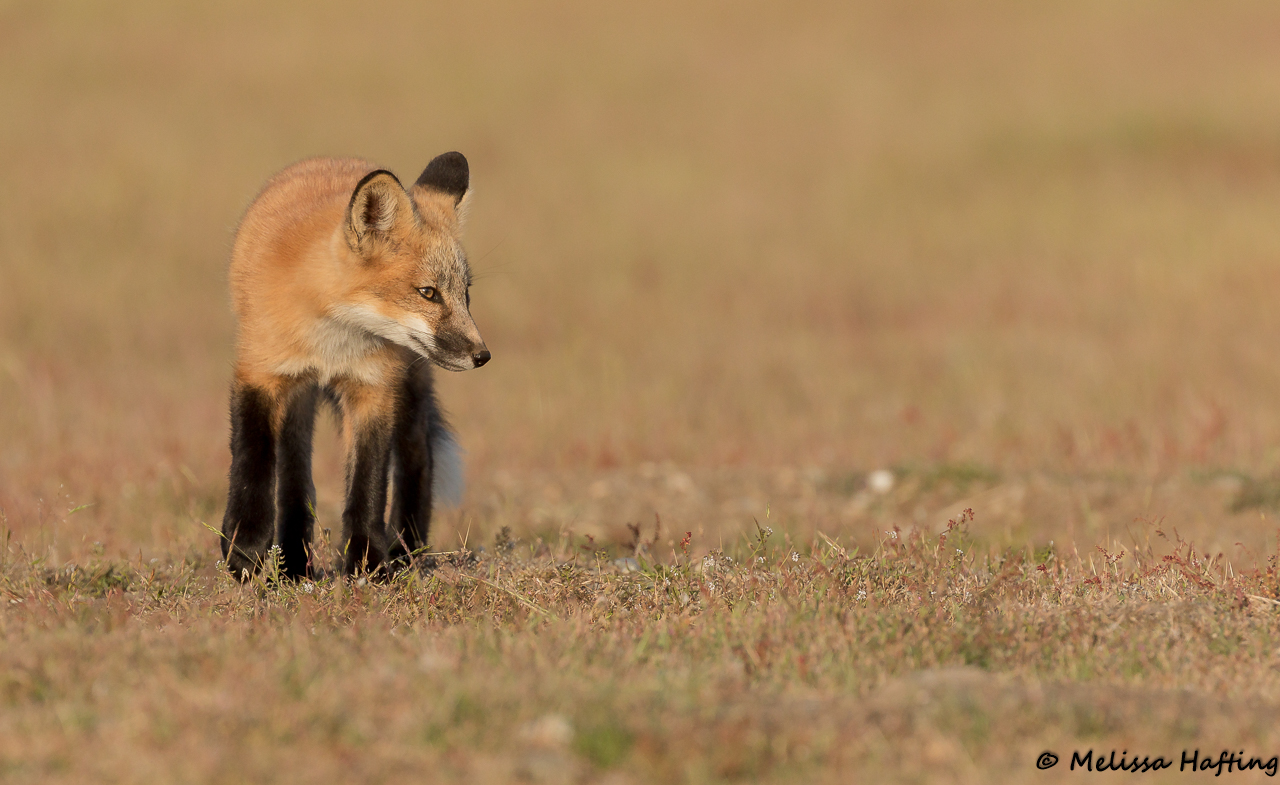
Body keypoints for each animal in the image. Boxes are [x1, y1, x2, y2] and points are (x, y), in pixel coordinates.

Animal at [220, 152, 489, 580]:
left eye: (465, 295)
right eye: (428, 293)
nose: (482, 355)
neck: (333, 339)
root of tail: (333, 159)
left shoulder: (374, 388)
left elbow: (369, 484)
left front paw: (368, 565)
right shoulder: (260, 372)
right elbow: (252, 460)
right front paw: (244, 550)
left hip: (408, 390)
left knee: (417, 458)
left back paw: (406, 551)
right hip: (299, 400)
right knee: (296, 481)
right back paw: (294, 564)